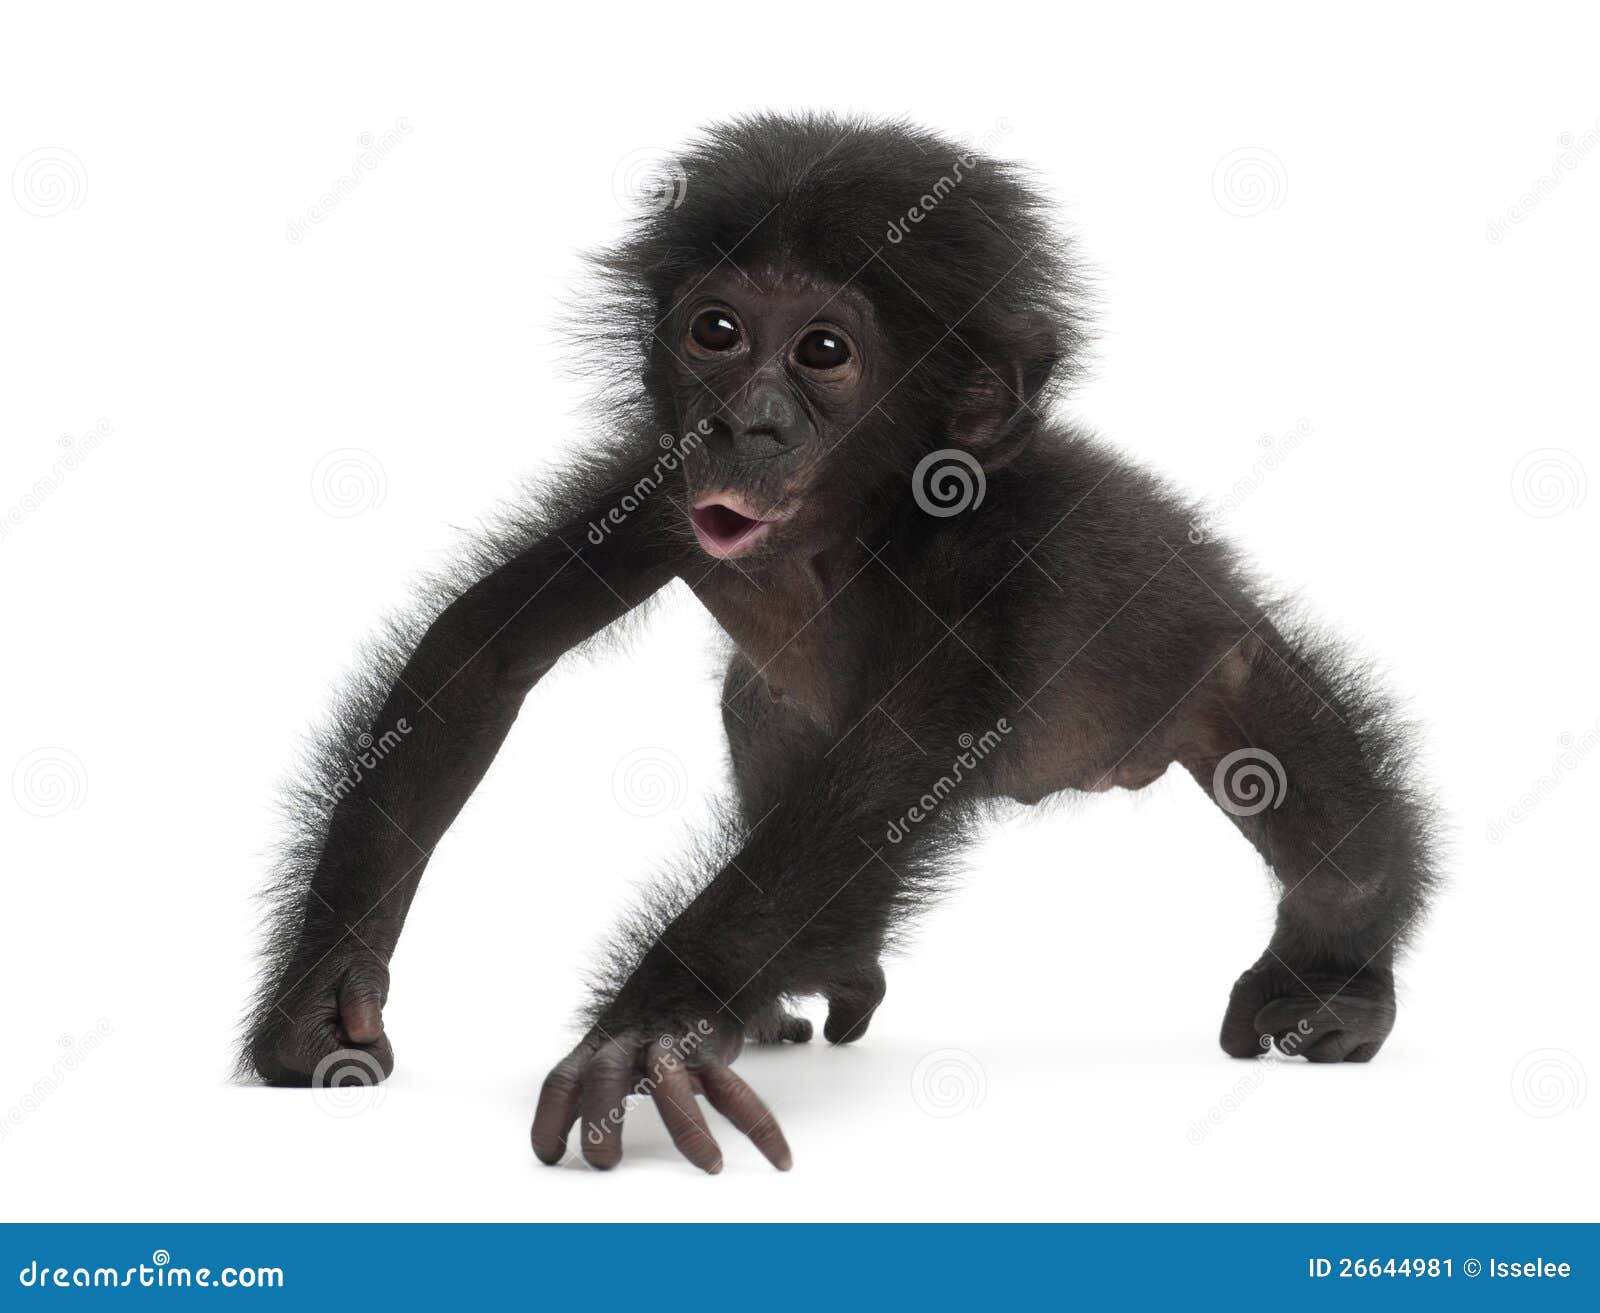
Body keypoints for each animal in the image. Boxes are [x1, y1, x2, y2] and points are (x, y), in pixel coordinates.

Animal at [240, 113, 1438, 1174]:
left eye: (824, 351)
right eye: (716, 332)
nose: (748, 421)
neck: (846, 524)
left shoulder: (982, 567)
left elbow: (883, 782)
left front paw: (647, 1028)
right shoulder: (653, 487)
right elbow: (484, 650)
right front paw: (321, 997)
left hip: (1228, 671)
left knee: (1342, 837)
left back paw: (1335, 986)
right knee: (759, 711)